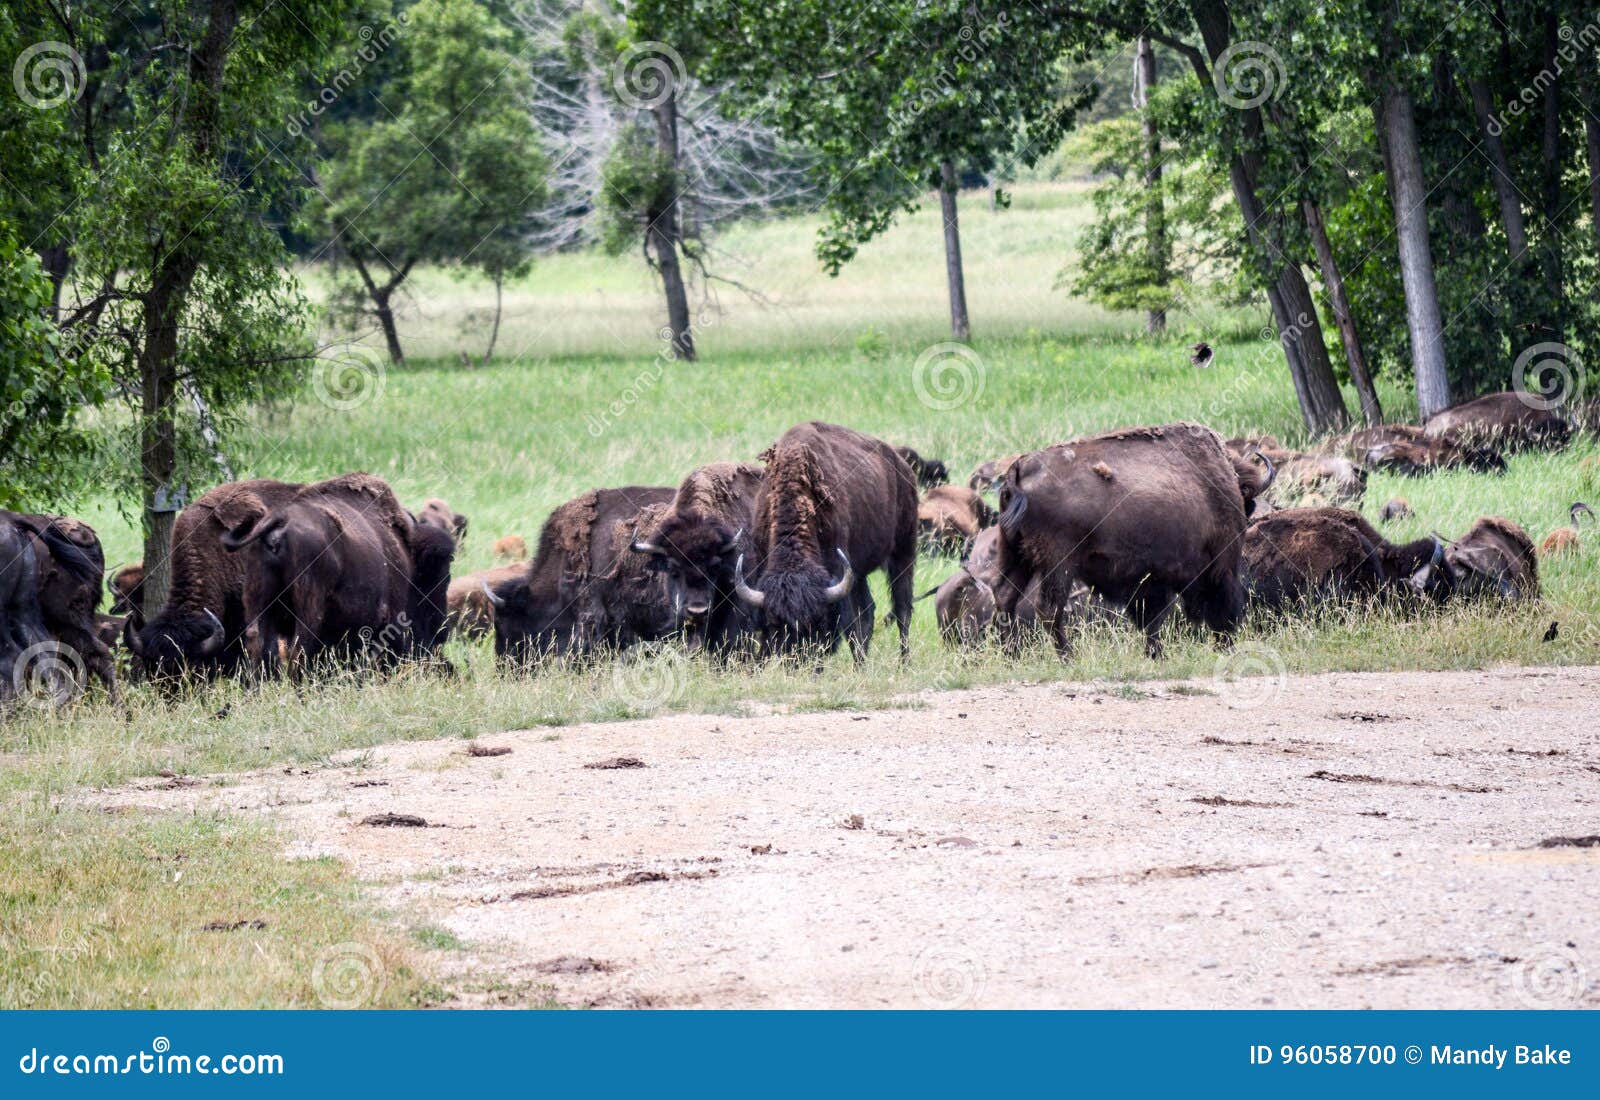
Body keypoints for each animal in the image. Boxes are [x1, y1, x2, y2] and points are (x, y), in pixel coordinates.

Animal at [730, 422, 918, 659]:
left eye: (817, 622)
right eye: (775, 624)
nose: (798, 657)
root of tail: (903, 467)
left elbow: (847, 625)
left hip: (903, 553)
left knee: (903, 610)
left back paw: (904, 660)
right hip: (860, 572)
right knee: (868, 613)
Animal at [995, 423, 1251, 658]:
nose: (1226, 643)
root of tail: (1019, 468)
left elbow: (1151, 618)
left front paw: (1156, 654)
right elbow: (1155, 616)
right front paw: (1158, 653)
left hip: (1018, 555)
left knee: (1006, 599)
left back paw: (1012, 656)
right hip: (1058, 564)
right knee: (1049, 609)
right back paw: (1069, 658)